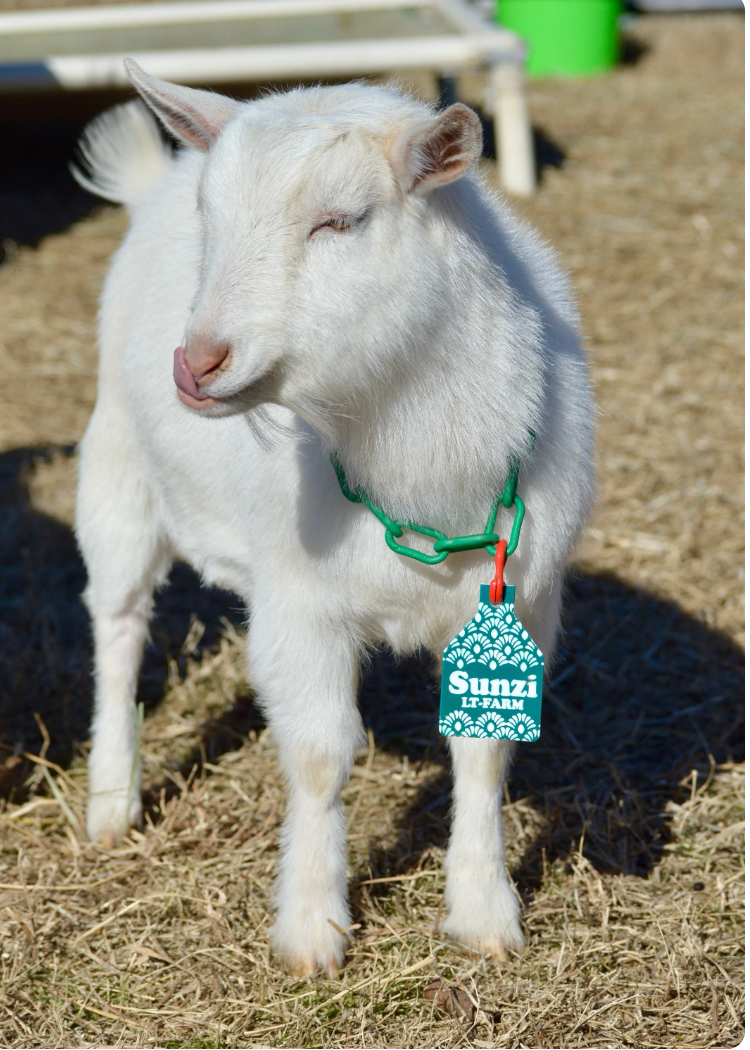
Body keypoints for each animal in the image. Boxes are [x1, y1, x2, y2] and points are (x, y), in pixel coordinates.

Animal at [74, 60, 594, 976]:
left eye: (341, 220)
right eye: (212, 216)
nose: (199, 362)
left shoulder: (523, 601)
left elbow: (485, 753)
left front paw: (484, 914)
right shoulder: (299, 604)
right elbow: (319, 755)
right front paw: (312, 928)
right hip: (117, 473)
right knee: (120, 626)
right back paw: (112, 800)